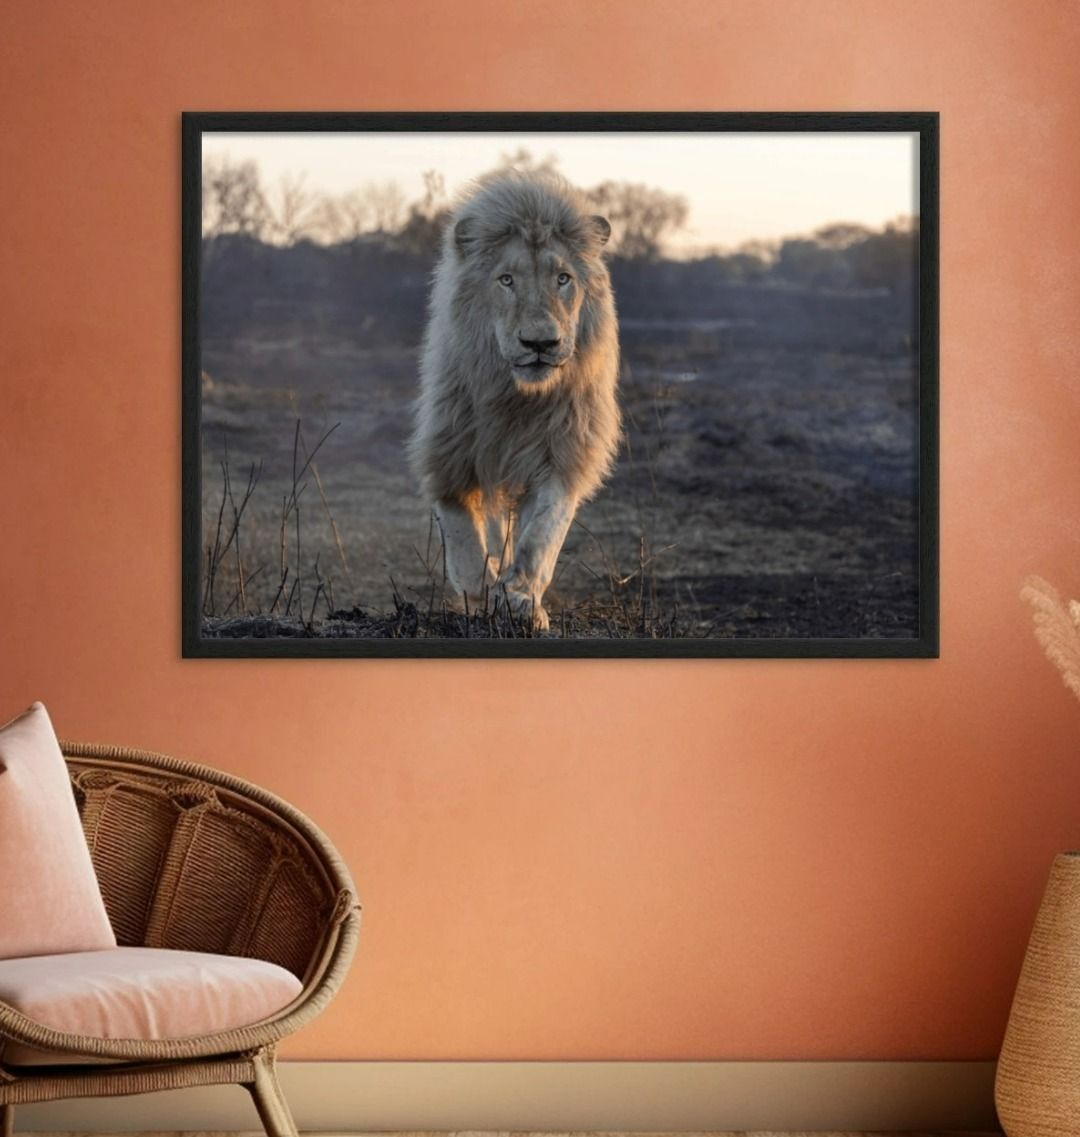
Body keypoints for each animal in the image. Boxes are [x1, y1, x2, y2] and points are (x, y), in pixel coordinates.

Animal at [407, 169, 621, 631]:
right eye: (506, 280)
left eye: (563, 278)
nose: (540, 343)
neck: (517, 400)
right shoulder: (450, 451)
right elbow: (463, 538)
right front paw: (481, 594)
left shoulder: (564, 454)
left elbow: (541, 536)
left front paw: (521, 599)